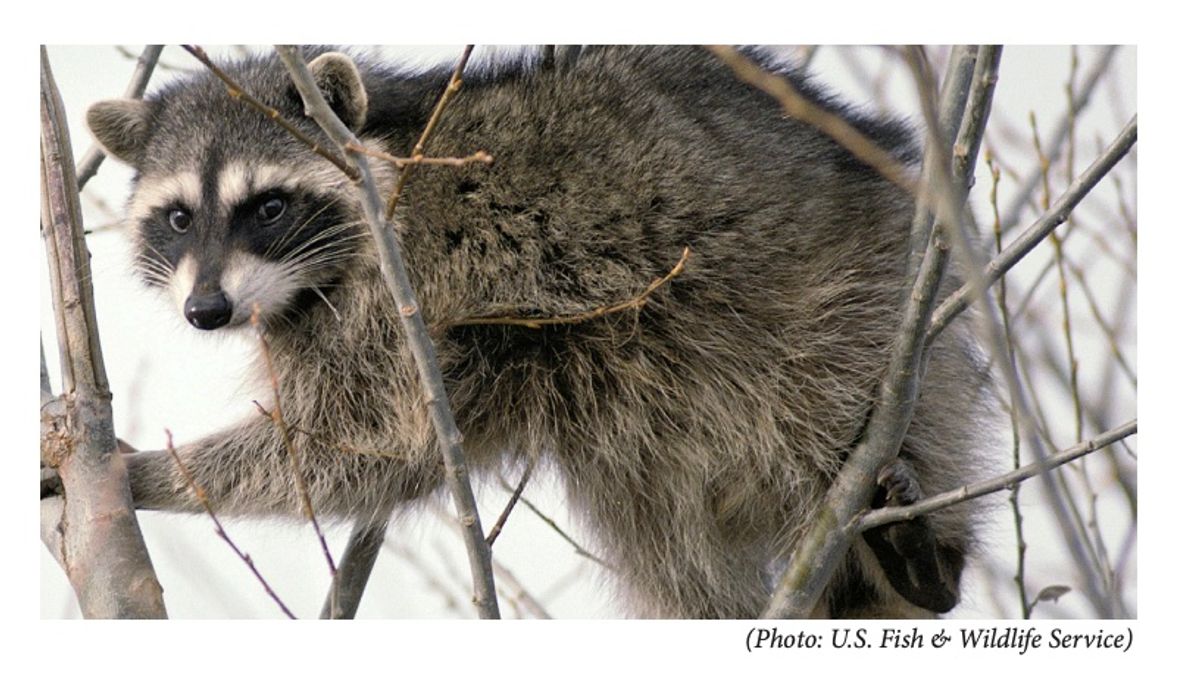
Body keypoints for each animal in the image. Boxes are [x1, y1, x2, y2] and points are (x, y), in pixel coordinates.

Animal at [85, 45, 994, 618]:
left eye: (267, 206)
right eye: (177, 218)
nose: (208, 311)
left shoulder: (406, 289)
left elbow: (353, 439)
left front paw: (147, 471)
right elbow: (362, 451)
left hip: (850, 302)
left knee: (848, 399)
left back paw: (927, 559)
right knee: (659, 523)